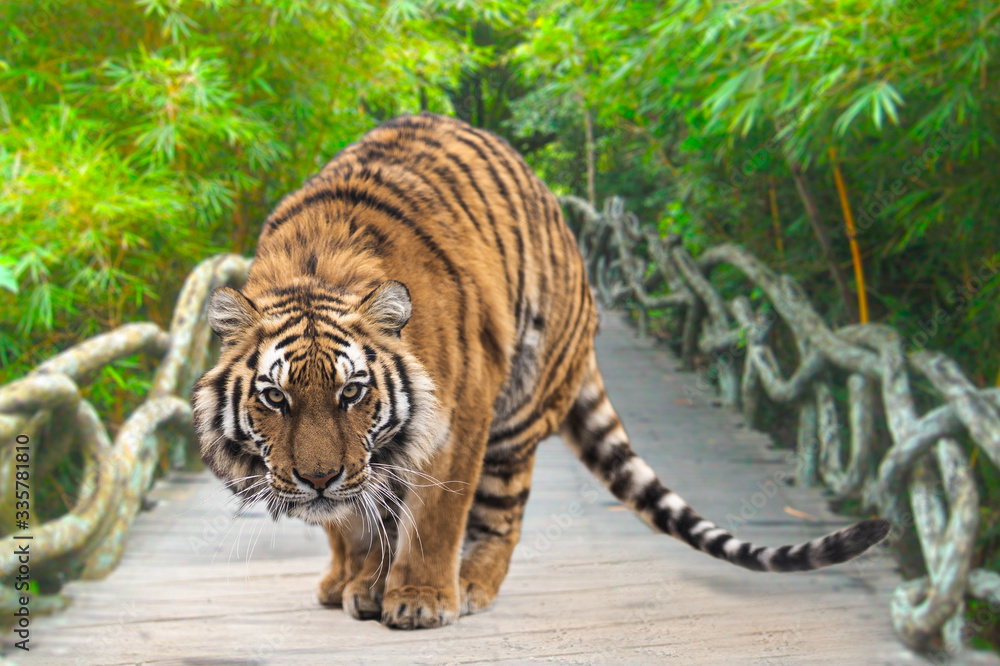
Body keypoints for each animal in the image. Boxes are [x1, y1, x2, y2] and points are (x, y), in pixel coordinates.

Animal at [191, 112, 891, 630]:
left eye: (352, 393)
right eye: (276, 399)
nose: (318, 479)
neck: (317, 270)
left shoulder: (459, 411)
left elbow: (432, 513)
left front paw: (417, 598)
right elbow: (355, 517)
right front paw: (353, 580)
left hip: (515, 410)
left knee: (503, 514)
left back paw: (469, 584)